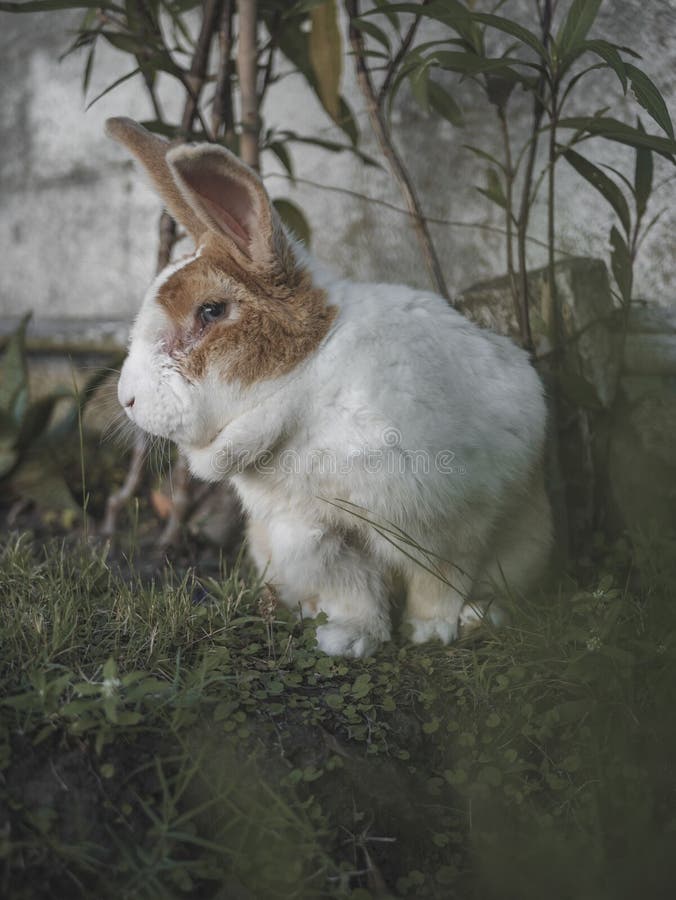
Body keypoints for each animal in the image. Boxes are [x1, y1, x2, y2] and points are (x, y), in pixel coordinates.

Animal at [108, 117, 552, 658]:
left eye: (210, 311)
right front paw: (348, 639)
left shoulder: (443, 521)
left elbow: (439, 581)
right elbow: (352, 589)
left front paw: (430, 631)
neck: (304, 392)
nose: (127, 399)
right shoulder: (311, 532)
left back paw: (480, 617)